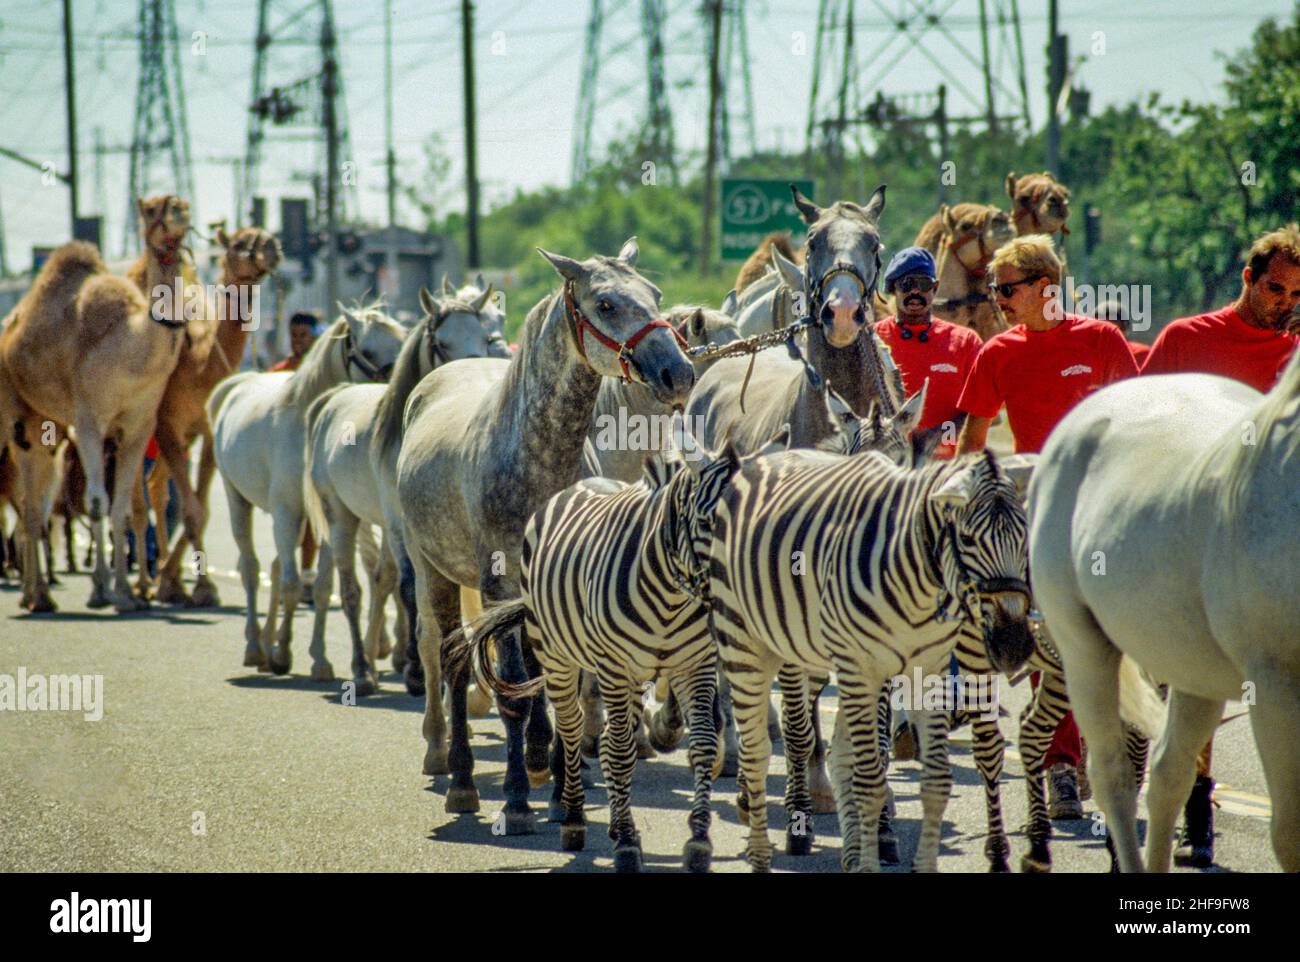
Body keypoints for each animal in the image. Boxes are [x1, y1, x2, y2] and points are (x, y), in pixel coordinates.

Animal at [0, 194, 192, 612]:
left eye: (178, 203)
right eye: (151, 210)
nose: (180, 209)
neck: (128, 348)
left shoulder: (138, 427)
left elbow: (121, 508)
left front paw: (127, 593)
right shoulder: (88, 421)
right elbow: (98, 502)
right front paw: (101, 590)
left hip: (47, 427)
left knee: (35, 504)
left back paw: (34, 593)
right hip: (17, 416)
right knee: (30, 505)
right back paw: (39, 595)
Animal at [130, 224, 283, 606]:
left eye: (266, 234)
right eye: (240, 242)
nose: (274, 247)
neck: (201, 363)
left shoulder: (207, 433)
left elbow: (201, 507)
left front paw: (185, 583)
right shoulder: (166, 424)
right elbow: (191, 510)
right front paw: (197, 587)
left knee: (157, 487)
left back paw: (164, 577)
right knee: (134, 501)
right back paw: (141, 584)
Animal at [444, 423, 782, 872]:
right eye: (710, 520)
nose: (751, 584)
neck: (671, 599)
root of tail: (578, 485)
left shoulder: (694, 665)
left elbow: (701, 744)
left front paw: (697, 840)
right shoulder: (615, 666)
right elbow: (620, 751)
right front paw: (624, 845)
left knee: (604, 740)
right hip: (561, 657)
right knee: (573, 727)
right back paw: (572, 818)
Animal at [708, 447, 1036, 871]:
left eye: (1025, 537)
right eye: (966, 538)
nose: (1014, 644)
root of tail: (771, 455)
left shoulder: (925, 672)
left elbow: (935, 782)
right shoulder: (861, 669)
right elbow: (868, 782)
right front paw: (868, 860)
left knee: (831, 752)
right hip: (748, 645)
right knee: (759, 752)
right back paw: (762, 850)